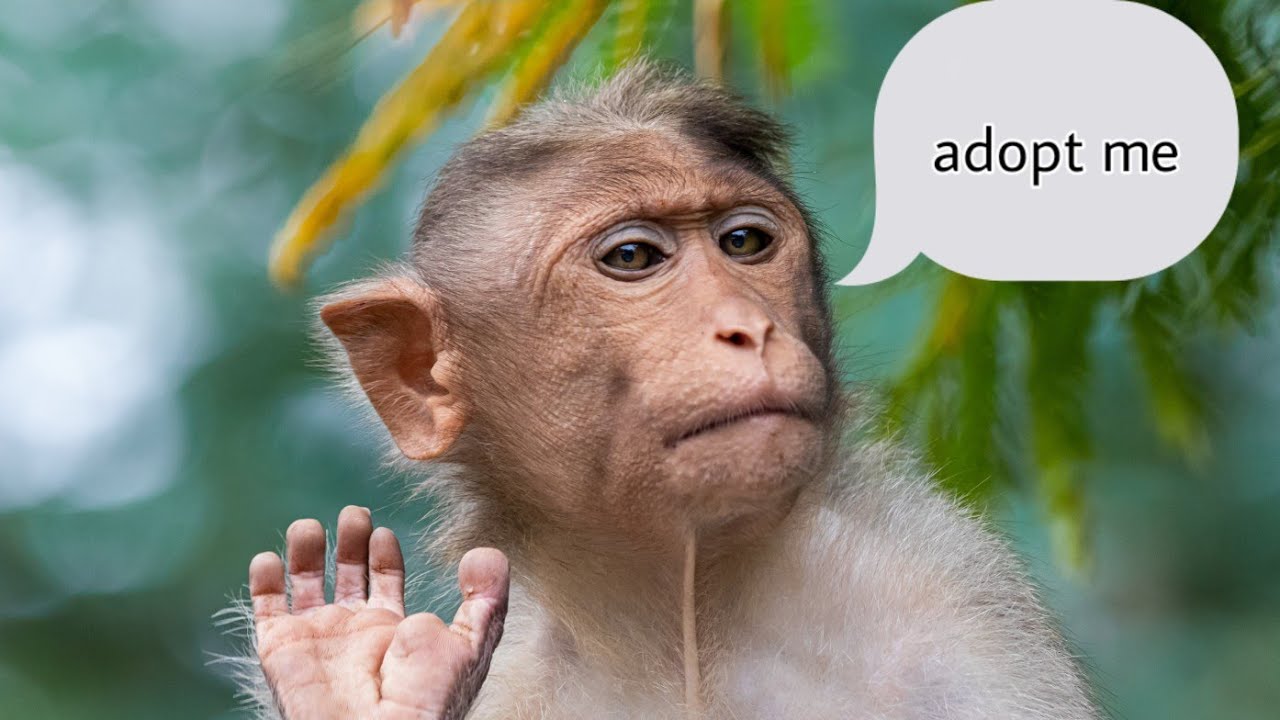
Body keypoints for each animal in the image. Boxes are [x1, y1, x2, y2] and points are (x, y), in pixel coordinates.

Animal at [224, 61, 1098, 720]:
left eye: (744, 242)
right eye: (634, 258)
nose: (747, 326)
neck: (682, 621)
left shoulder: (953, 613)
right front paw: (354, 677)